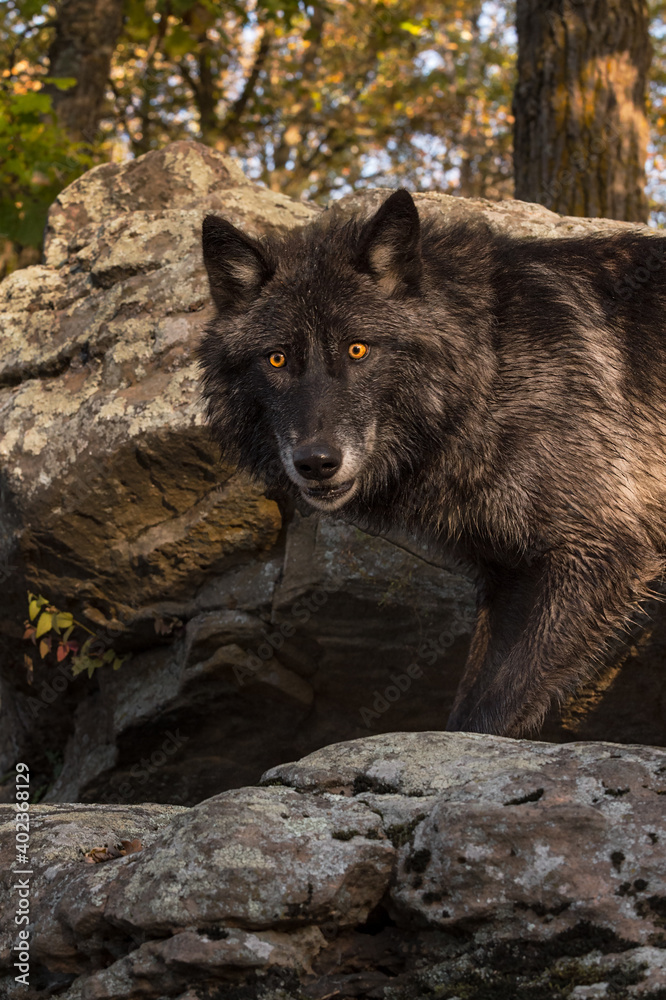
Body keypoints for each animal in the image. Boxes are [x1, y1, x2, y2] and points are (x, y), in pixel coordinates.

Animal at [198, 189, 666, 737]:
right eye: (276, 359)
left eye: (358, 349)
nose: (316, 462)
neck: (489, 369)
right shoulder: (507, 575)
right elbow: (469, 706)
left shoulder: (598, 551)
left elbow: (493, 708)